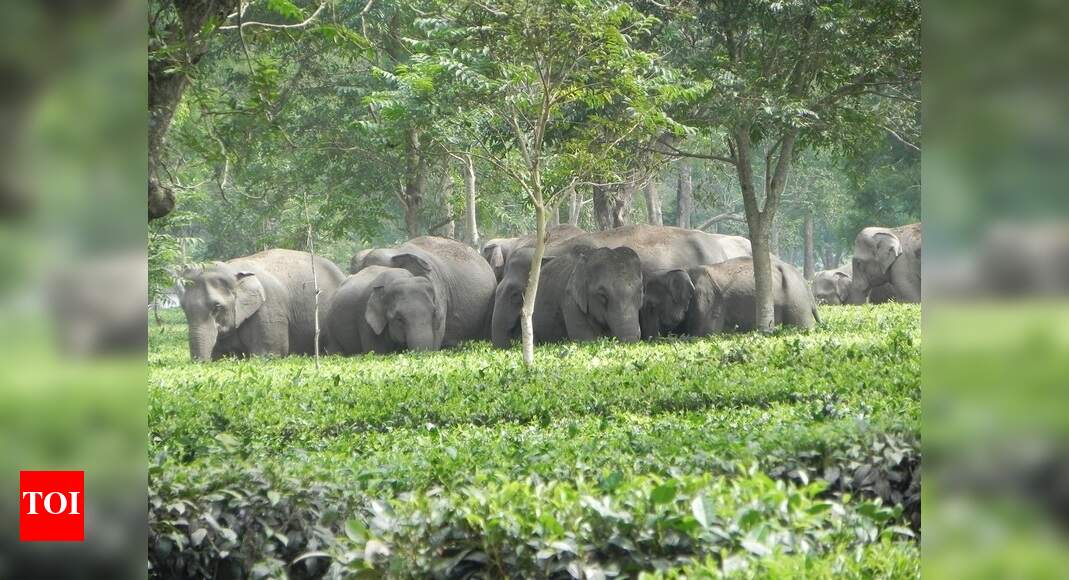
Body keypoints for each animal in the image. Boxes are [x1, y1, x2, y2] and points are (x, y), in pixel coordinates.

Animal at [179, 249, 345, 361]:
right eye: (183, 308)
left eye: (217, 307)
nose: (202, 363)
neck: (233, 268)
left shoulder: (268, 309)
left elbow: (268, 353)